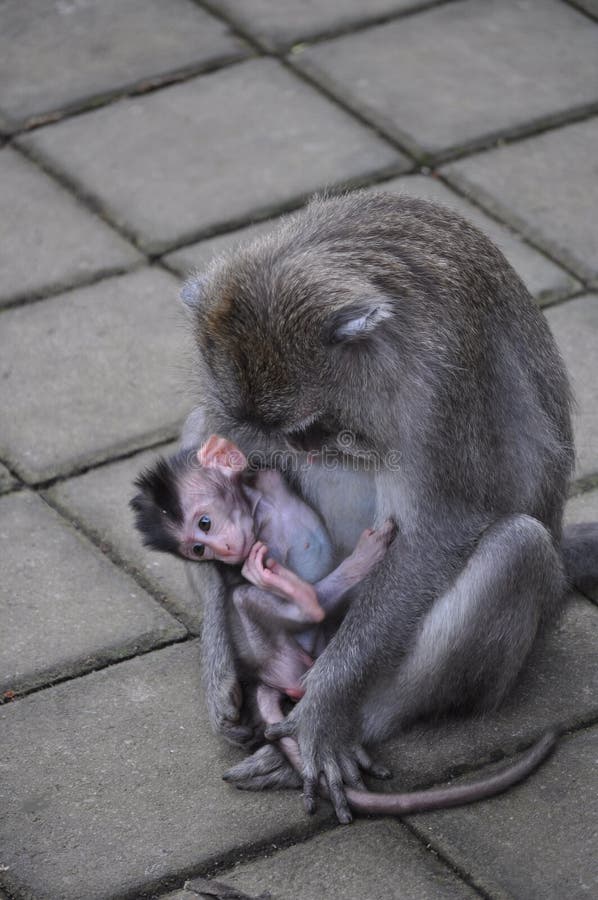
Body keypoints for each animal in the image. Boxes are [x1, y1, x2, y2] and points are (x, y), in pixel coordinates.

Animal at [131, 434, 559, 816]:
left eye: (203, 526)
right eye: (197, 550)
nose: (222, 551)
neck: (261, 509)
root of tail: (273, 677)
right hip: (284, 657)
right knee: (263, 603)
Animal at [174, 190, 598, 825]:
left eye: (306, 427)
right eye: (265, 428)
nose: (290, 450)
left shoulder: (438, 384)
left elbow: (441, 530)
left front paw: (324, 710)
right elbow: (205, 435)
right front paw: (218, 659)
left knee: (515, 548)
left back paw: (334, 729)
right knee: (196, 428)